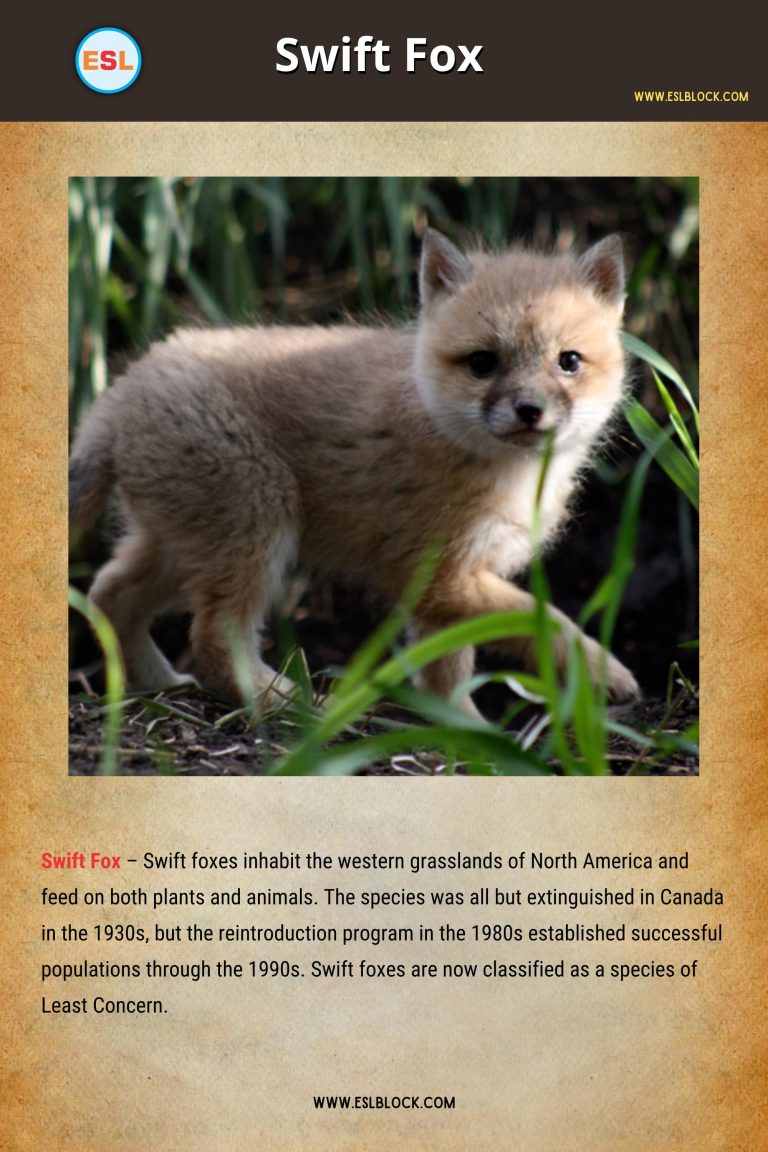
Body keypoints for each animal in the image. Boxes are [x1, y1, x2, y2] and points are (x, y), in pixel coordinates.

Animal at [69, 228, 640, 716]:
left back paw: (158, 685)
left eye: (569, 362)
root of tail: (122, 390)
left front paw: (465, 732)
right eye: (482, 363)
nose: (529, 411)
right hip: (253, 537)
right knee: (211, 636)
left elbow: (447, 677)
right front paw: (604, 673)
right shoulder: (433, 577)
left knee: (107, 594)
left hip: (180, 549)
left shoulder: (442, 593)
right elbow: (543, 619)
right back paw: (282, 702)